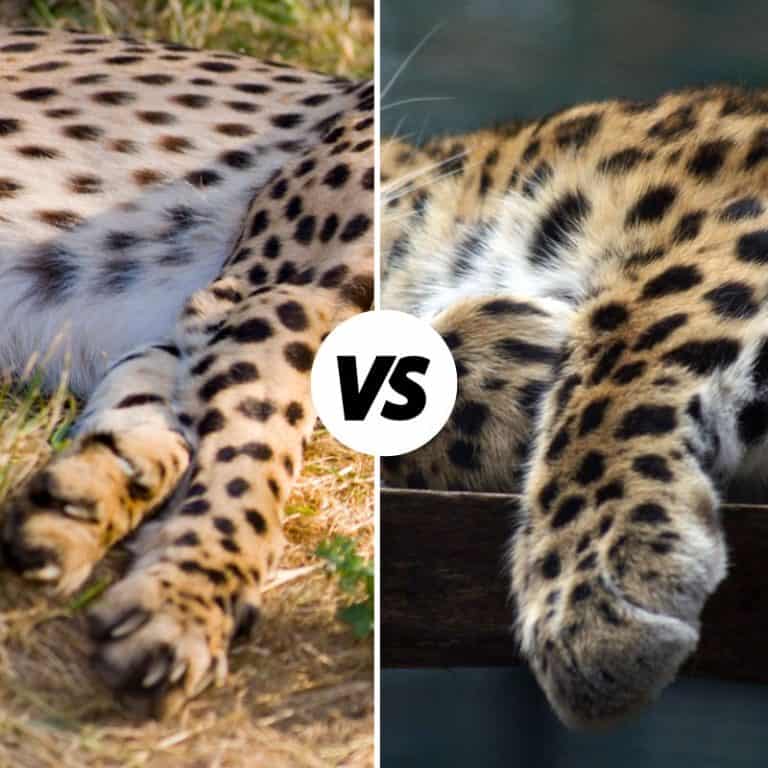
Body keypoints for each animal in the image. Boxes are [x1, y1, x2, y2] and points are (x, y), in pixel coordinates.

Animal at [0, 27, 373, 718]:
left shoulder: (207, 315)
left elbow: (153, 410)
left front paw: (88, 499)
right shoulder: (274, 294)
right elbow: (259, 443)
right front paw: (192, 596)